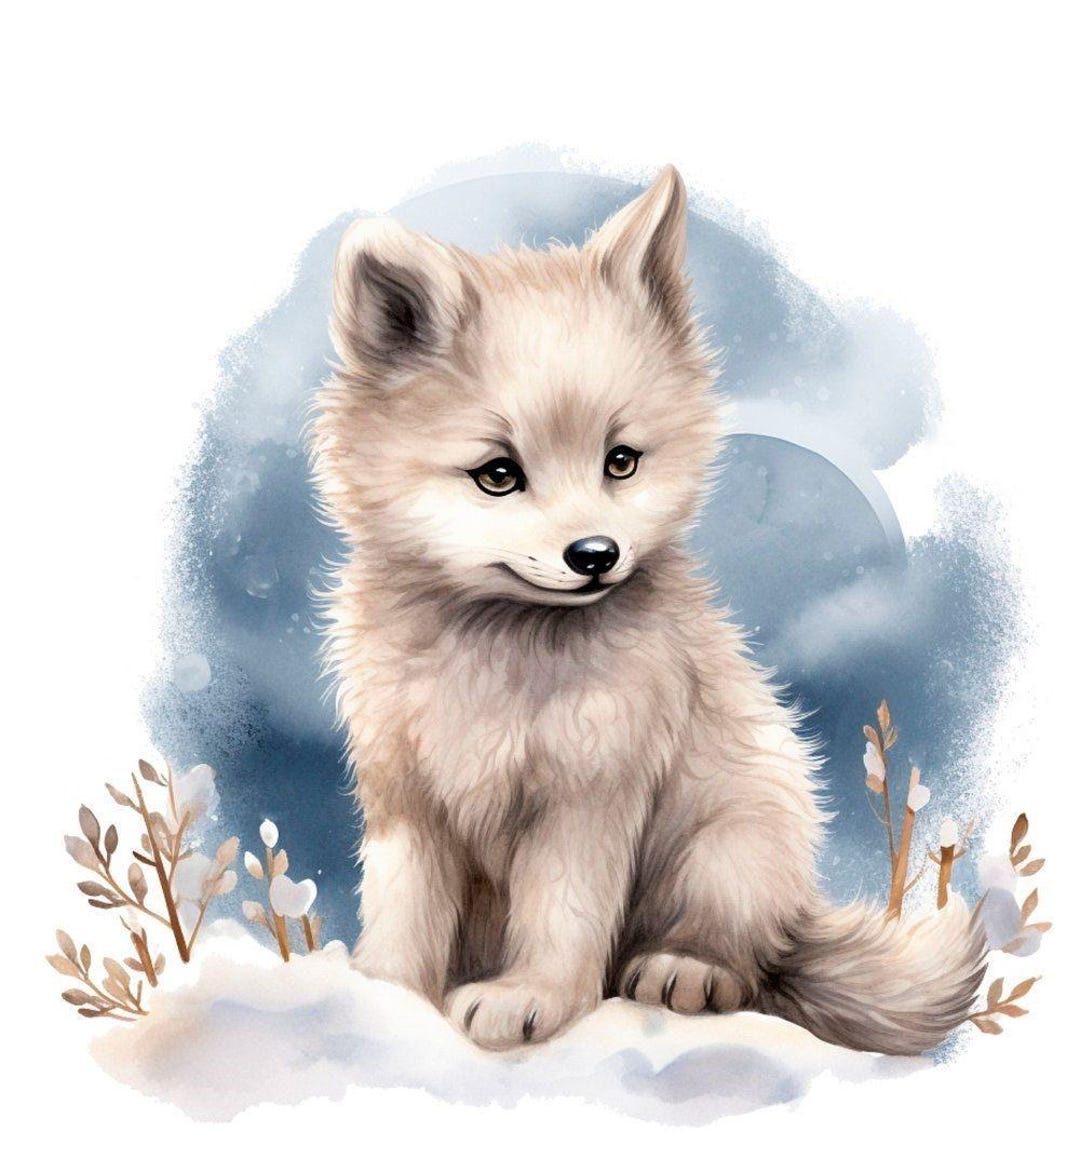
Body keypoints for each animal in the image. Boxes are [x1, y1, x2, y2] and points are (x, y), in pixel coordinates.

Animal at [311, 167, 985, 1055]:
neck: (501, 647)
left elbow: (562, 916)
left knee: (740, 955)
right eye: (499, 474)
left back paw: (683, 969)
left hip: (731, 837)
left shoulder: (589, 792)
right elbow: (402, 919)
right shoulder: (409, 798)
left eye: (621, 460)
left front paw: (530, 997)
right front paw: (380, 1003)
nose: (595, 555)